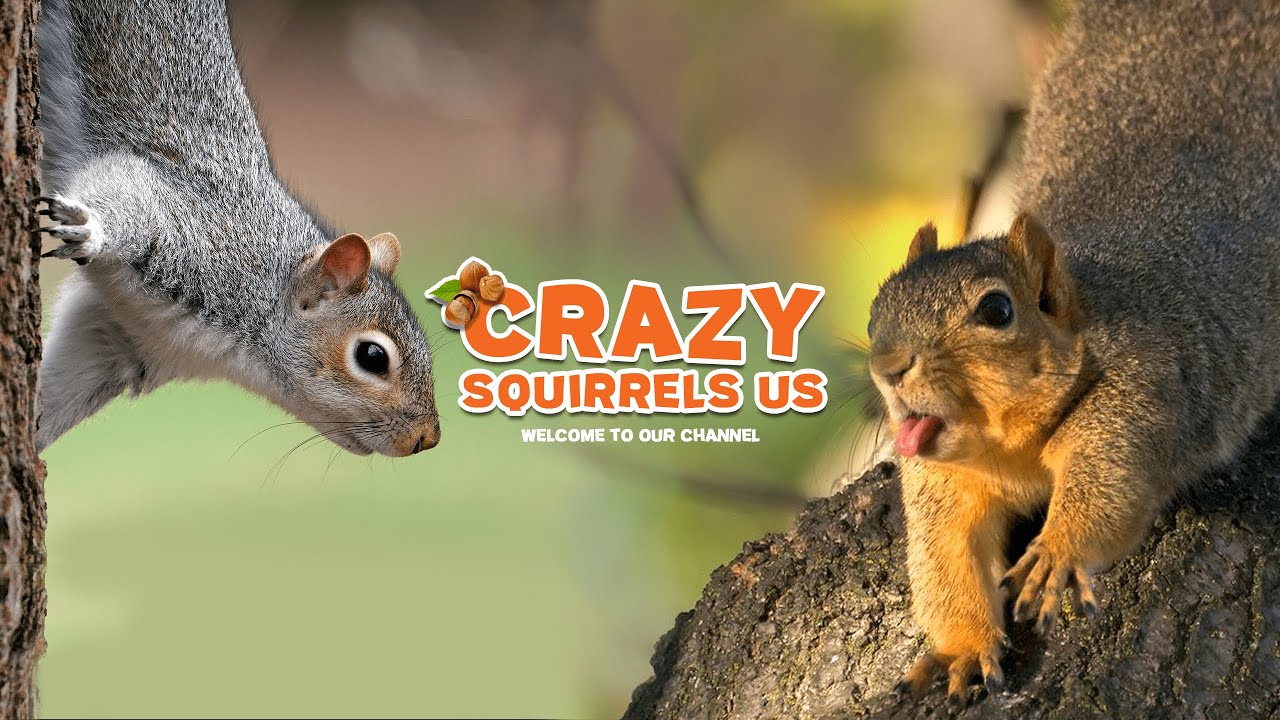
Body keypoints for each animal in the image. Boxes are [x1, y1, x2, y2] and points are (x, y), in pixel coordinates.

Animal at [34, 0, 441, 457]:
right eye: (372, 357)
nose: (427, 439)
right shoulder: (189, 225)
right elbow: (125, 193)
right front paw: (90, 229)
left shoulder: (121, 337)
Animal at [866, 0, 1280, 707]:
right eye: (874, 313)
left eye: (997, 310)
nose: (889, 369)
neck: (1007, 449)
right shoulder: (941, 481)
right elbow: (945, 558)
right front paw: (961, 647)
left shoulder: (1144, 389)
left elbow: (1111, 485)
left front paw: (1057, 551)